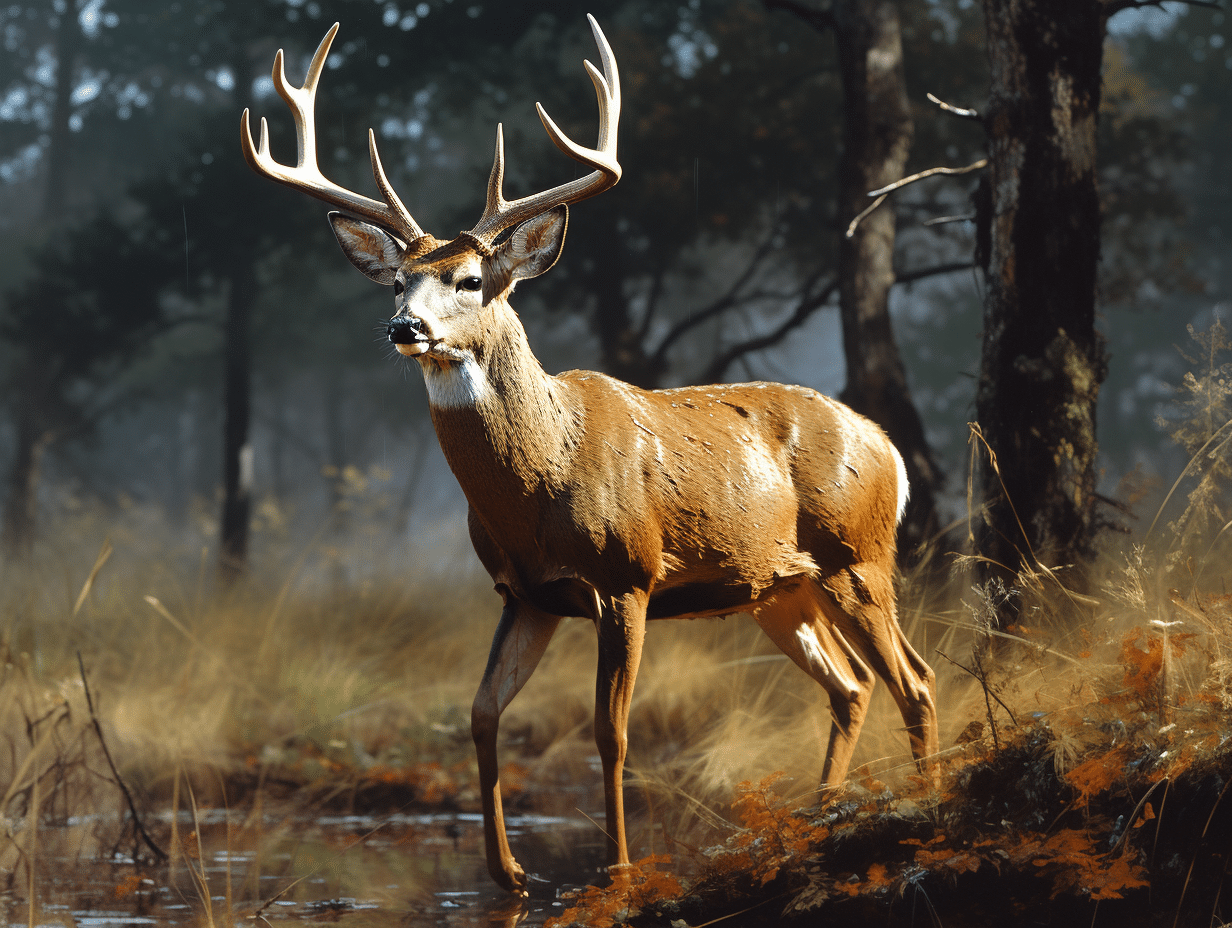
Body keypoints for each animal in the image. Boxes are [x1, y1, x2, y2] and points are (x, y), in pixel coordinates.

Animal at [241, 16, 938, 895]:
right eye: (397, 280)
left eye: (470, 280)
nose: (406, 328)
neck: (544, 477)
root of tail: (887, 448)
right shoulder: (527, 593)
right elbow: (481, 714)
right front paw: (507, 873)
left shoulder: (626, 577)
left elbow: (611, 732)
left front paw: (617, 868)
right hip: (780, 587)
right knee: (851, 686)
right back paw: (821, 818)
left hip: (859, 555)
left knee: (915, 680)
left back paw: (922, 807)